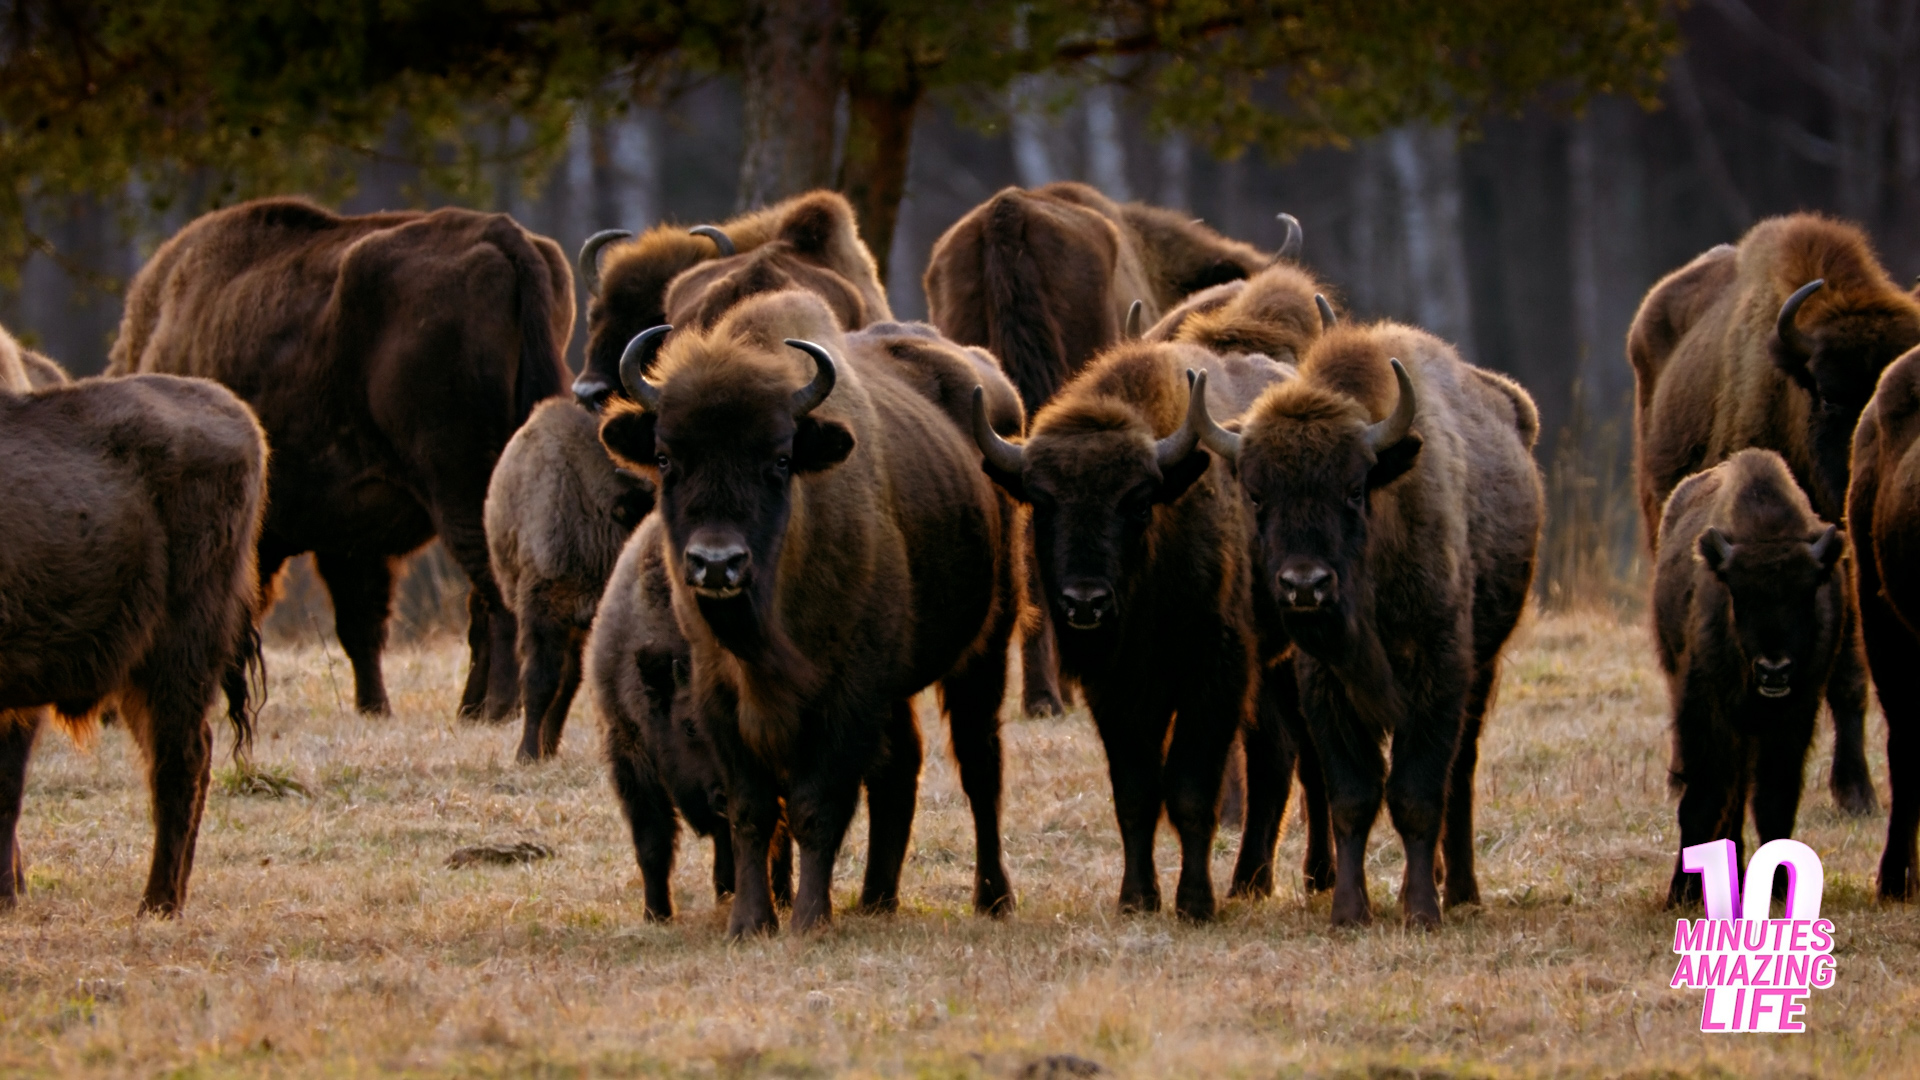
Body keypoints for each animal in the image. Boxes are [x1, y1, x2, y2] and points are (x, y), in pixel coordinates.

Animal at [111, 197, 574, 722]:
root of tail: (501, 236)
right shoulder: (353, 539)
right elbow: (360, 629)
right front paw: (374, 708)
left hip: (462, 487)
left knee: (497, 597)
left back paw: (497, 709)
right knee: (488, 602)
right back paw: (472, 709)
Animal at [597, 290, 1019, 936]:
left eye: (779, 458)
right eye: (666, 458)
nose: (716, 564)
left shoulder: (846, 696)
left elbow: (816, 806)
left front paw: (808, 920)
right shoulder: (719, 695)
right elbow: (751, 811)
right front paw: (749, 923)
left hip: (987, 644)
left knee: (979, 761)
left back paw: (993, 897)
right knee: (900, 769)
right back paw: (876, 898)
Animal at [1191, 323, 1543, 927]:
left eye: (1354, 490)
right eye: (1258, 496)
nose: (1304, 585)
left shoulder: (1438, 676)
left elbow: (1416, 794)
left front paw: (1422, 910)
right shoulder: (1326, 688)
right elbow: (1352, 797)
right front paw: (1349, 911)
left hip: (1483, 671)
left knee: (1461, 773)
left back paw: (1460, 889)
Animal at [1655, 449, 1847, 906]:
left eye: (1806, 592)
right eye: (1739, 594)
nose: (1773, 669)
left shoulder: (1795, 715)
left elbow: (1775, 799)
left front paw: (1777, 888)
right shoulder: (1706, 708)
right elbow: (1704, 798)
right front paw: (1682, 892)